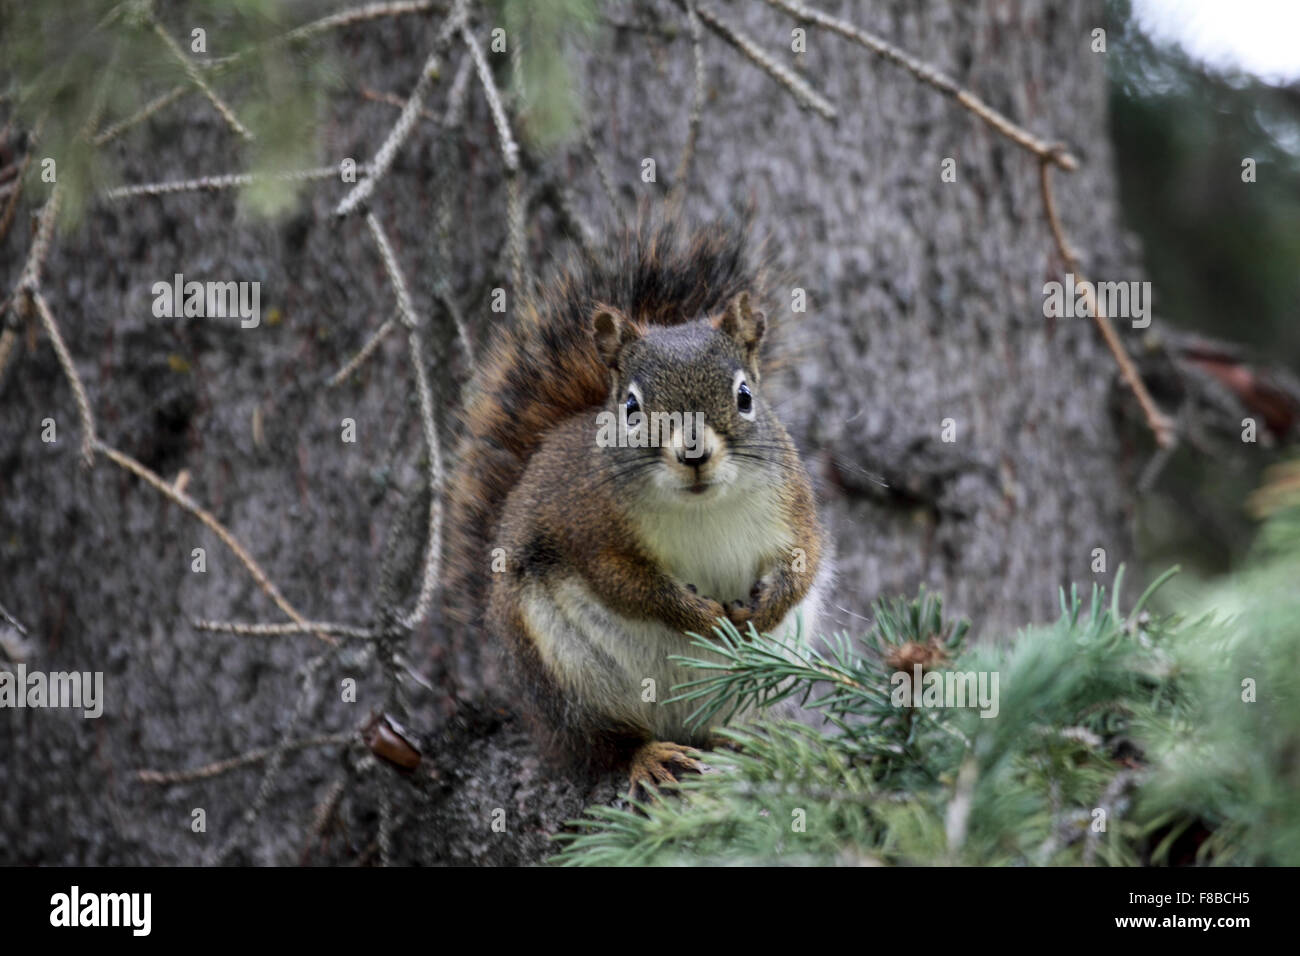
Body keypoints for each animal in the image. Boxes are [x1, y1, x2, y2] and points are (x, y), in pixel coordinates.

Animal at [446, 216, 828, 794]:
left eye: (745, 396)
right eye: (630, 406)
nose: (693, 453)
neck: (700, 508)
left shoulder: (793, 505)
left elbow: (804, 560)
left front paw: (764, 609)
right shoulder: (590, 527)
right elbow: (626, 584)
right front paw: (697, 615)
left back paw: (741, 748)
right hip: (568, 679)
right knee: (604, 745)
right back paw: (650, 756)